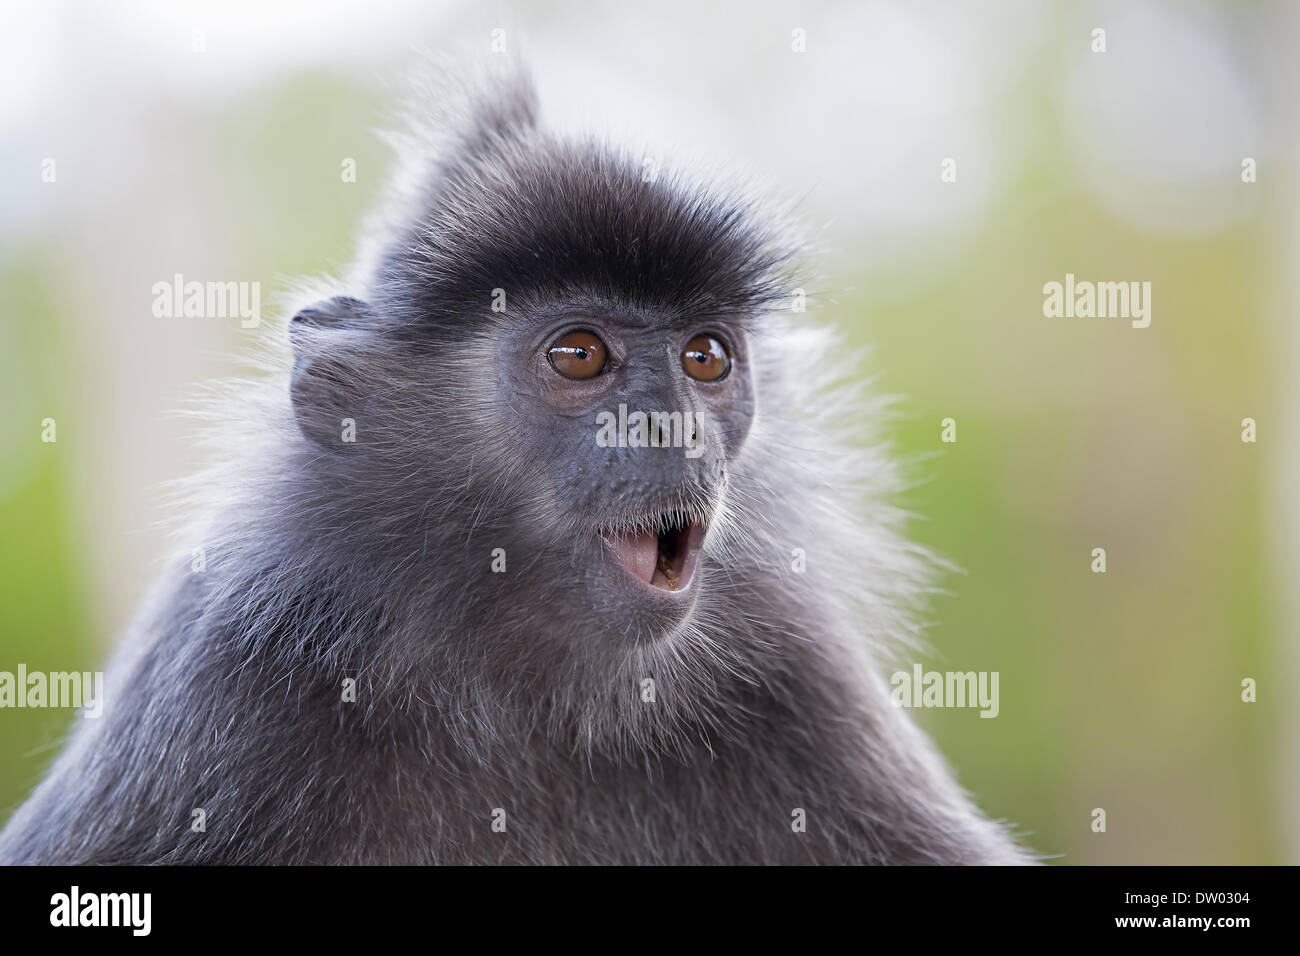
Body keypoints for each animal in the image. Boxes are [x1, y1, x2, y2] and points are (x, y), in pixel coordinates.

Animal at [0, 69, 1033, 865]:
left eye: (706, 357)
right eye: (579, 355)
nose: (673, 429)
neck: (524, 695)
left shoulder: (795, 662)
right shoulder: (223, 670)